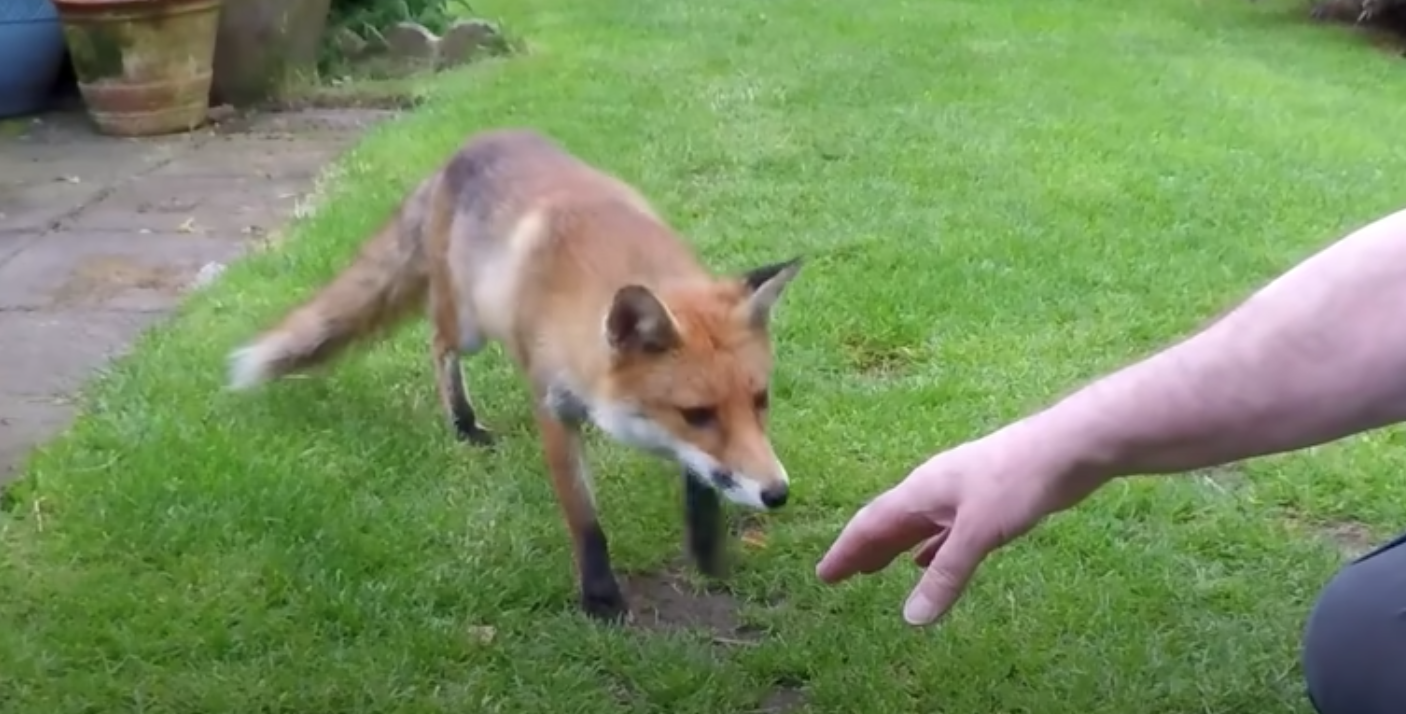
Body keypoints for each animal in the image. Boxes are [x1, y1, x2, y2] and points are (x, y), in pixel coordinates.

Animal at [226, 128, 804, 622]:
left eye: (760, 400)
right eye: (697, 413)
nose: (778, 494)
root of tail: (463, 149)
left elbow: (700, 481)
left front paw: (706, 550)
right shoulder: (553, 408)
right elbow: (584, 520)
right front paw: (600, 597)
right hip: (469, 326)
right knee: (437, 344)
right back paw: (463, 423)